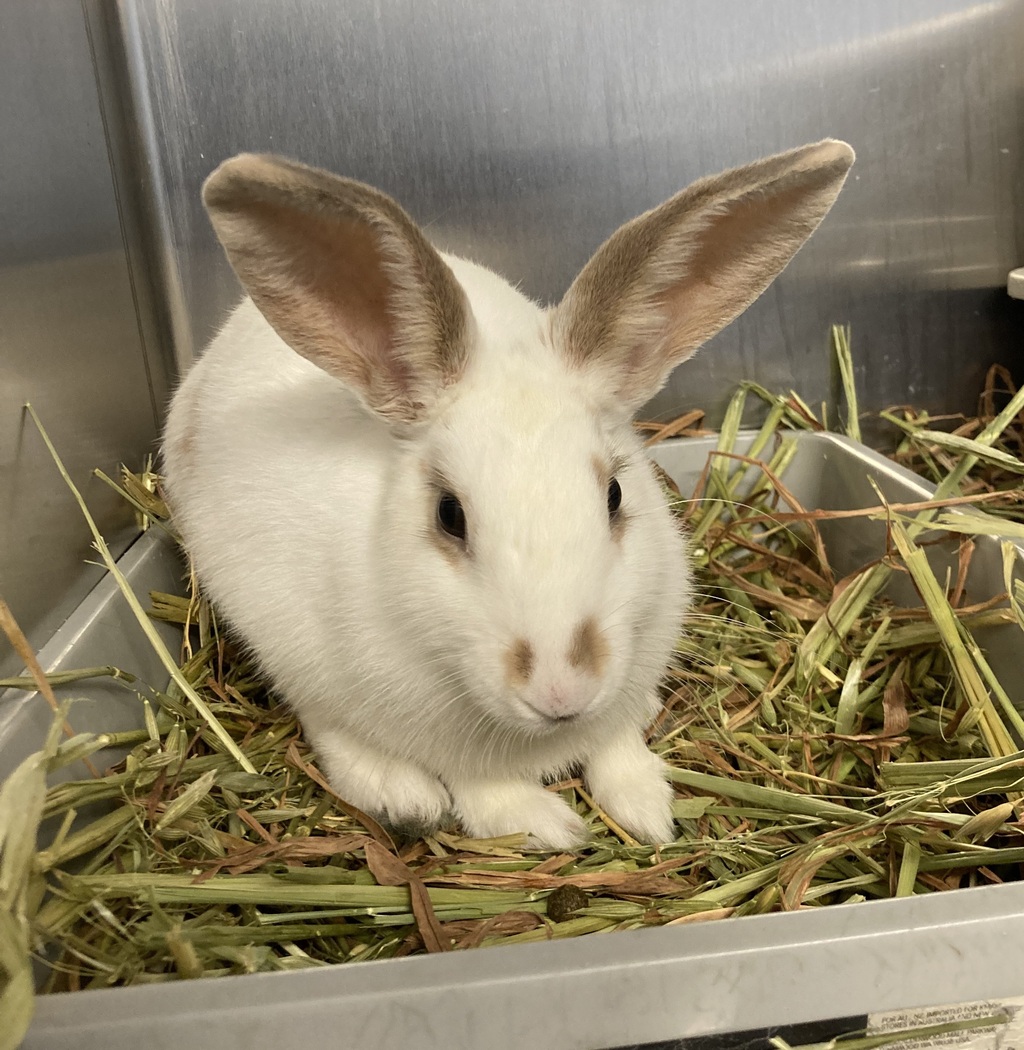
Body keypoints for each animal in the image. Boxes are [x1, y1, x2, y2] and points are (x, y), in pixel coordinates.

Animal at [163, 139, 854, 850]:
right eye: (449, 515)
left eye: (614, 494)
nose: (562, 690)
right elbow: (481, 789)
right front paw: (552, 828)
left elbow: (619, 748)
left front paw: (649, 811)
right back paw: (402, 796)